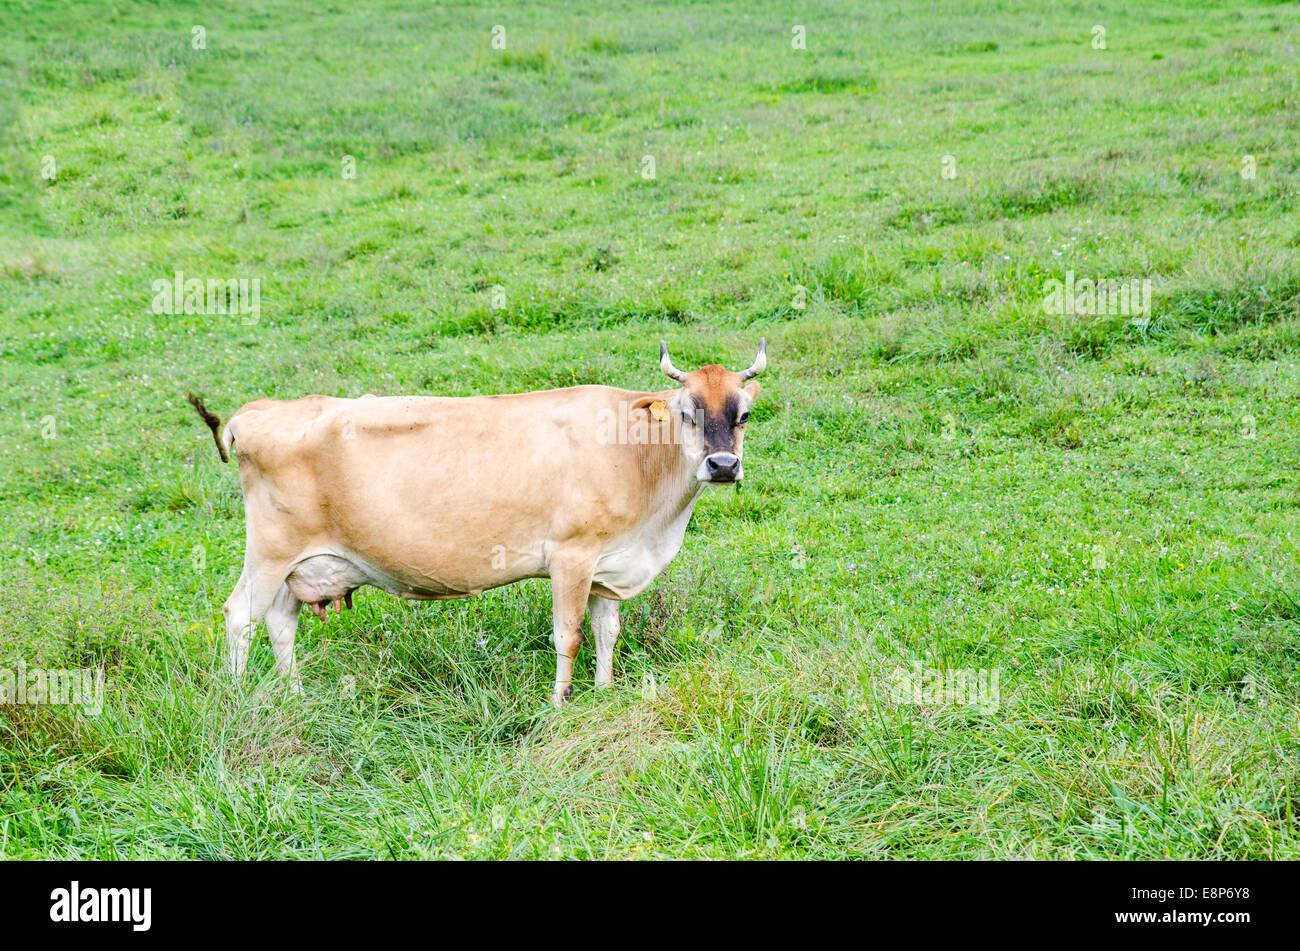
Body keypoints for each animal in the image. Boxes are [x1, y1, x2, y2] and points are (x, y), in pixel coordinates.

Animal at [188, 339, 766, 703]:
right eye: (688, 413)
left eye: (743, 415)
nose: (722, 465)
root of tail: (260, 410)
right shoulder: (571, 554)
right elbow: (569, 634)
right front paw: (561, 702)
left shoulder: (610, 561)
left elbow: (607, 631)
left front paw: (604, 692)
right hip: (270, 552)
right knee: (240, 617)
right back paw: (240, 700)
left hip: (301, 564)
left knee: (281, 623)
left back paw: (295, 697)